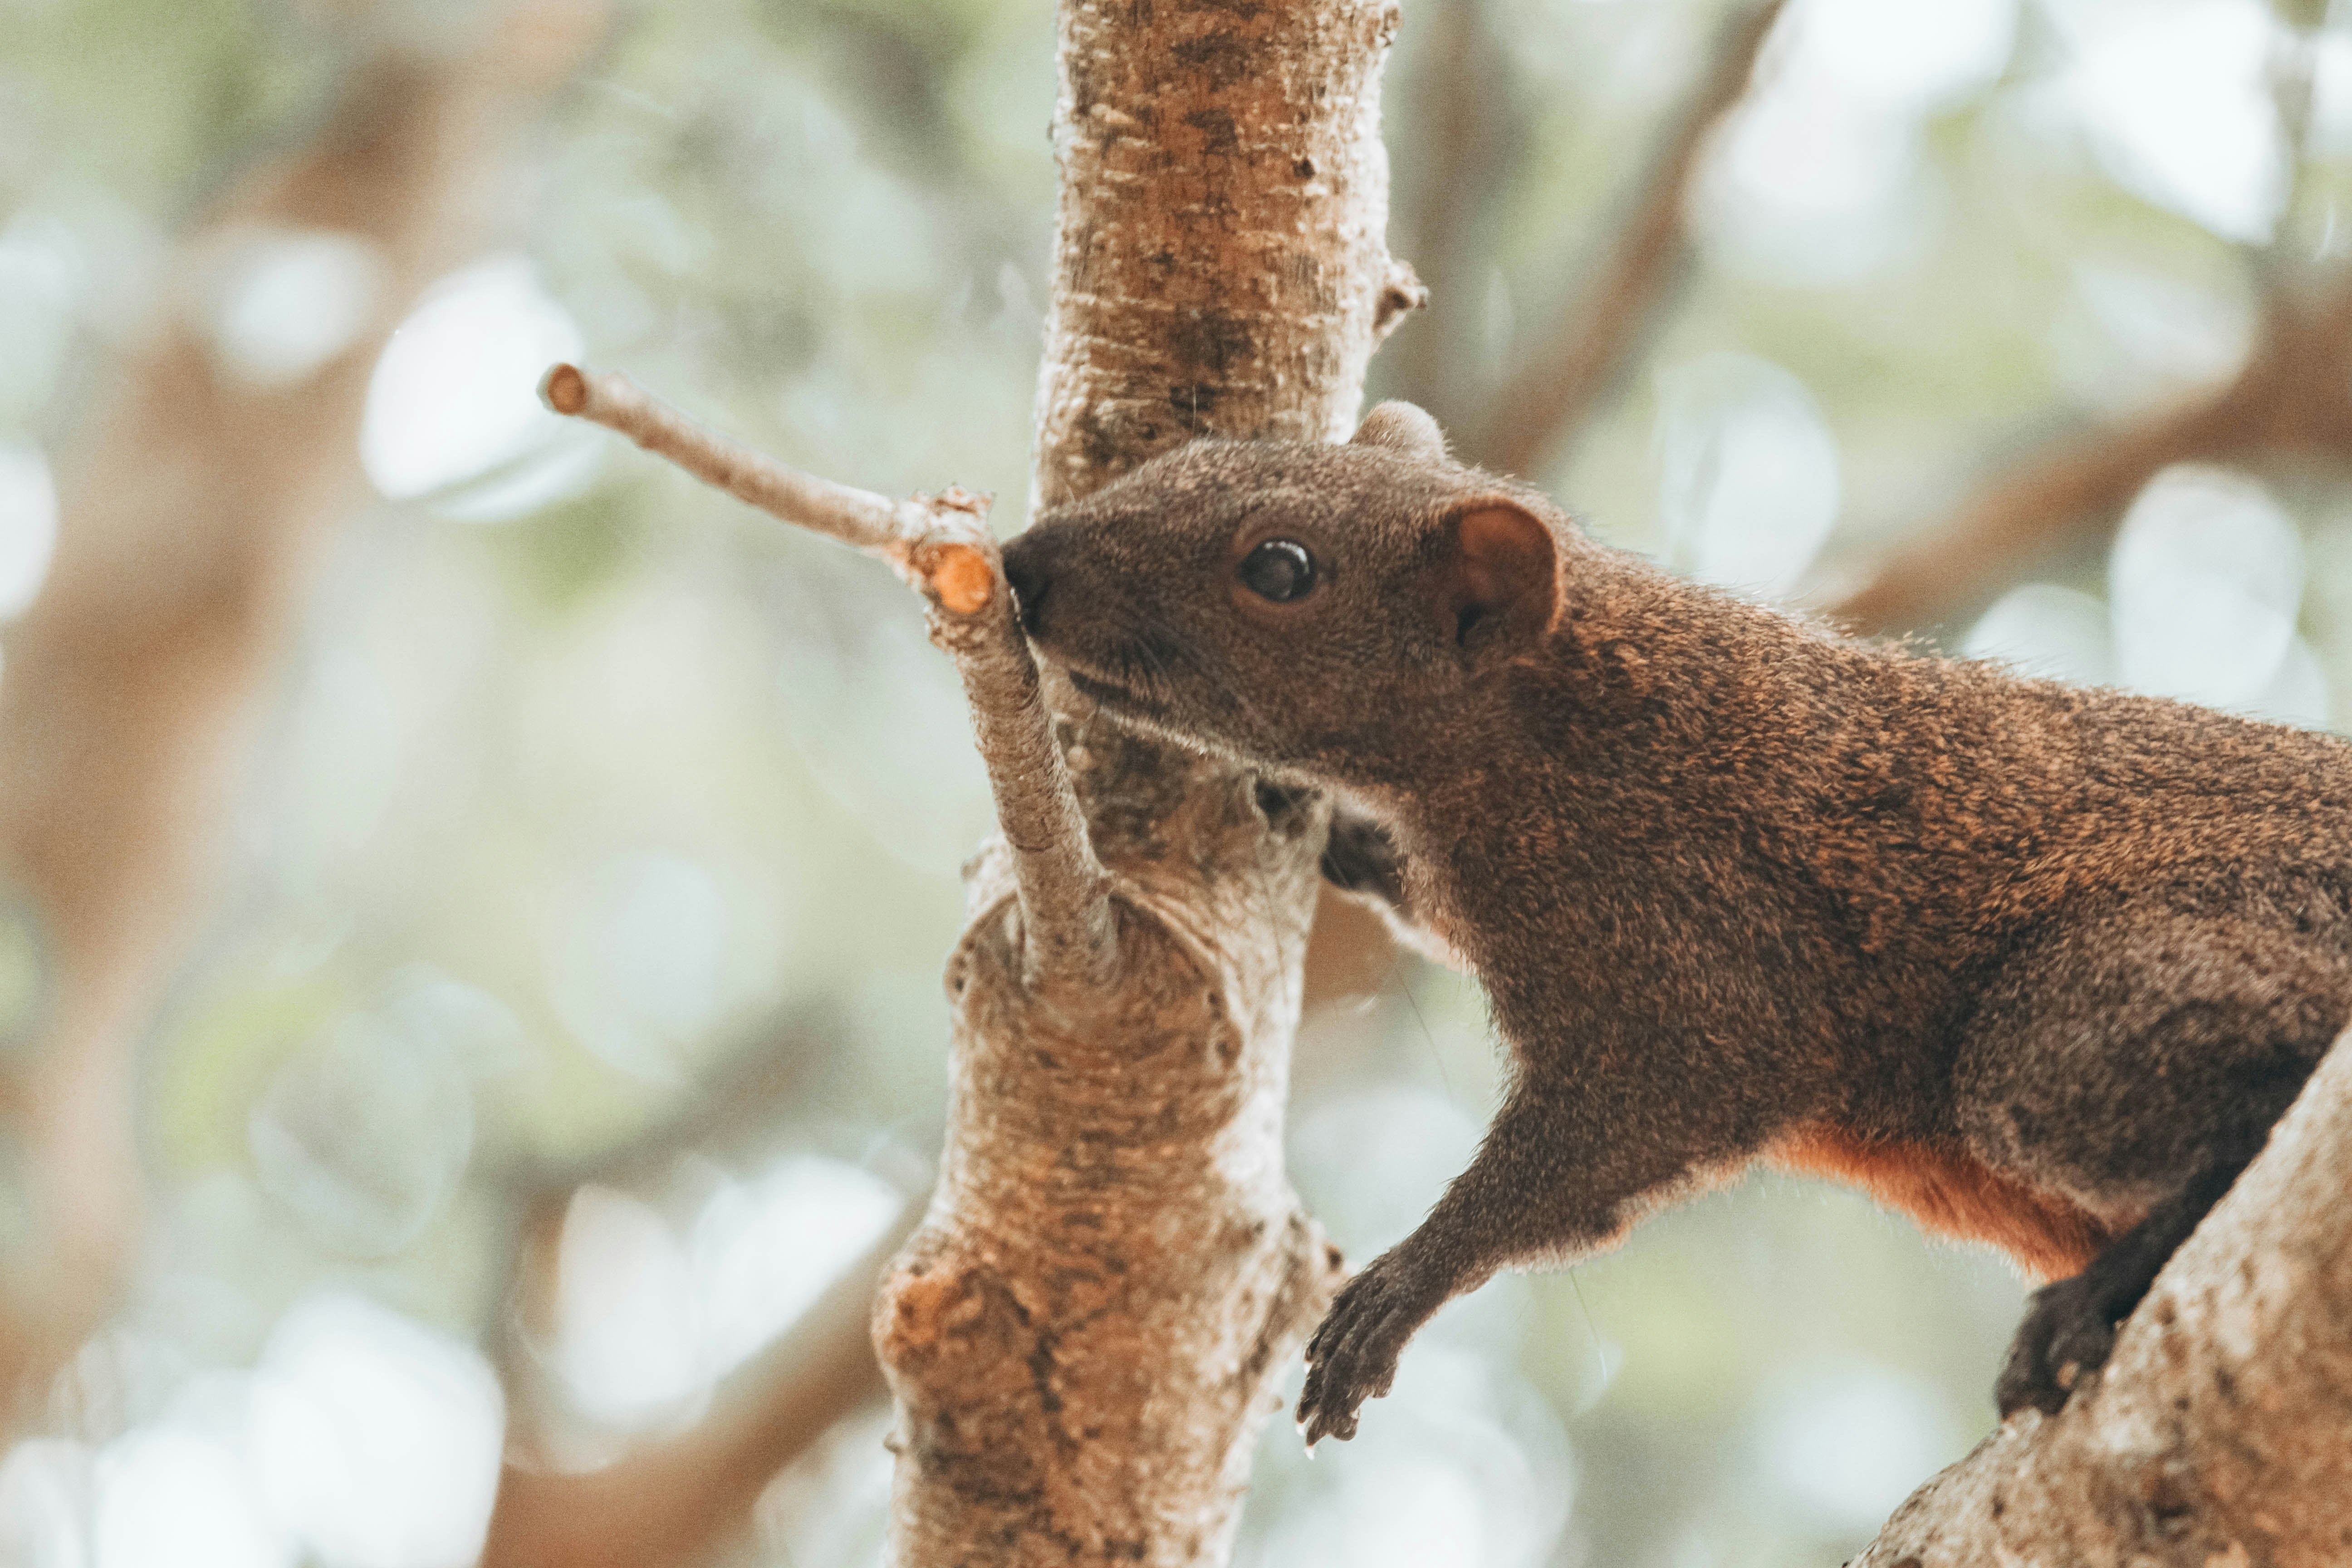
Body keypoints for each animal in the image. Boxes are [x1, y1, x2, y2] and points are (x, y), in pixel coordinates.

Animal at [998, 402, 2352, 1445]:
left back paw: (2099, 1291)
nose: (1020, 563)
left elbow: (1618, 1135)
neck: (1561, 722)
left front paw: (1402, 1287)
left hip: (2084, 1004)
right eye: (1189, 457)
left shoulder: (1693, 952)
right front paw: (1336, 828)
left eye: (1278, 569)